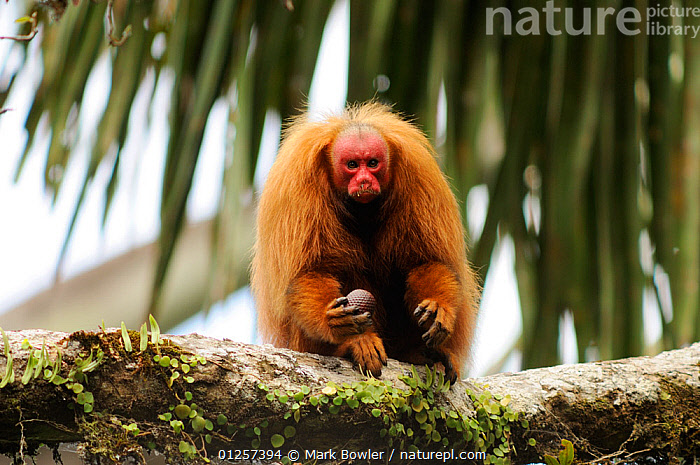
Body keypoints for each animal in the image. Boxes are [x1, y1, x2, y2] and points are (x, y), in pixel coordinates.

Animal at [251, 102, 479, 382]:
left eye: (372, 163)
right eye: (352, 165)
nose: (364, 181)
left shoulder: (419, 176)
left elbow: (426, 263)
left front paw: (439, 307)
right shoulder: (298, 188)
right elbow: (309, 275)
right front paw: (334, 325)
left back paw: (420, 353)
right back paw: (351, 345)